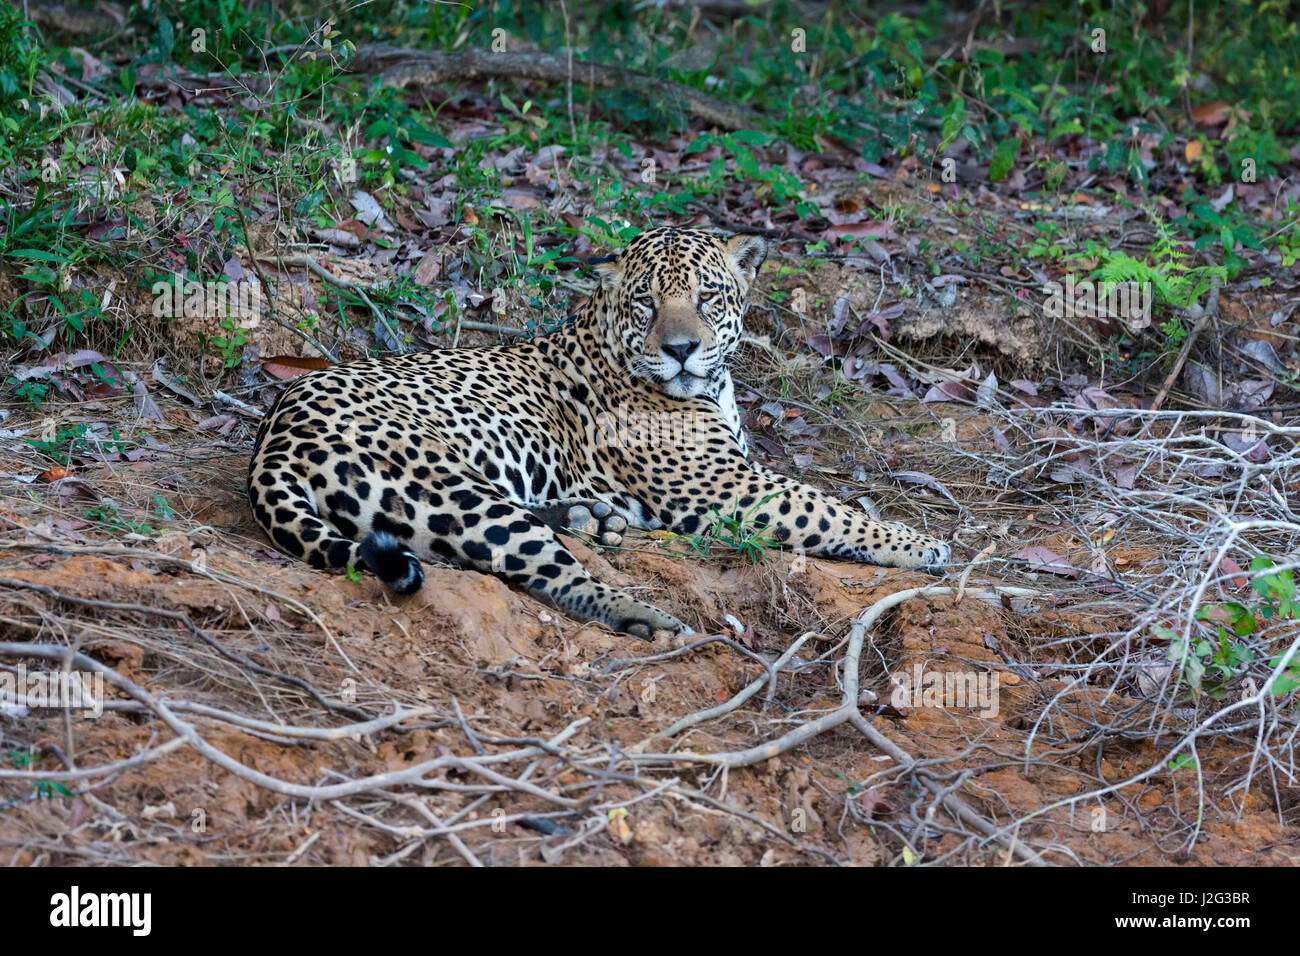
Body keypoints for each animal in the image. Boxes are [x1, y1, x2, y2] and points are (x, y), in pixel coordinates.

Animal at [247, 227, 952, 639]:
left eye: (709, 296)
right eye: (646, 302)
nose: (680, 349)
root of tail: (276, 428)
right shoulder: (724, 484)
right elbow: (826, 507)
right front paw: (919, 544)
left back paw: (593, 518)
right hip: (443, 479)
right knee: (547, 573)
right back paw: (645, 615)